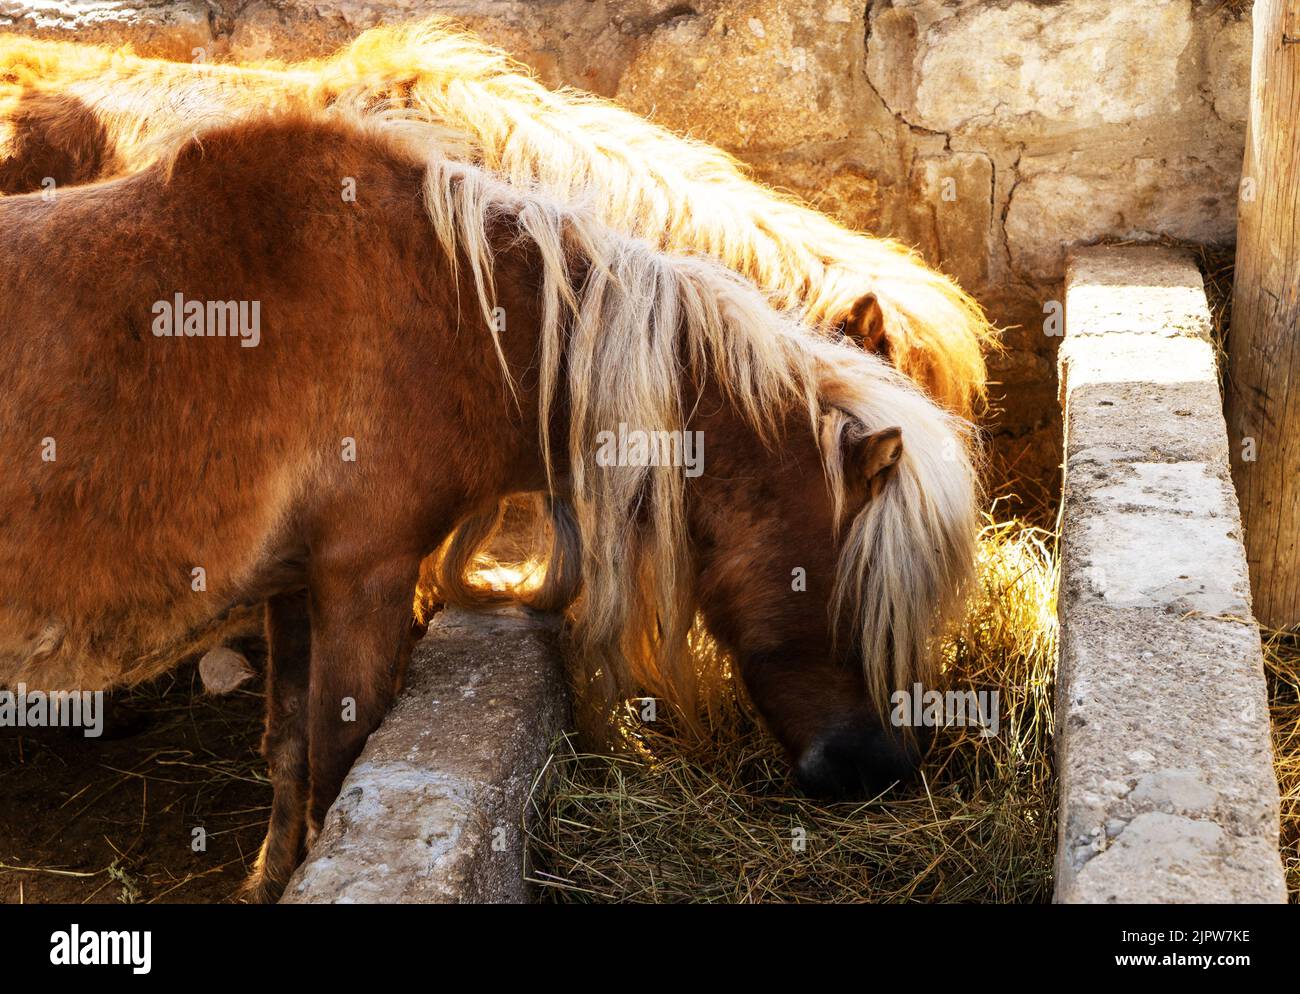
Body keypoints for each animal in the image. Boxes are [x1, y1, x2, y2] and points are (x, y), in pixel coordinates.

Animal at [0, 107, 980, 900]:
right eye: (853, 588)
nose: (876, 769)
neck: (441, 310)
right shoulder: (363, 579)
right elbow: (333, 769)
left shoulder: (297, 587)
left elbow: (286, 756)